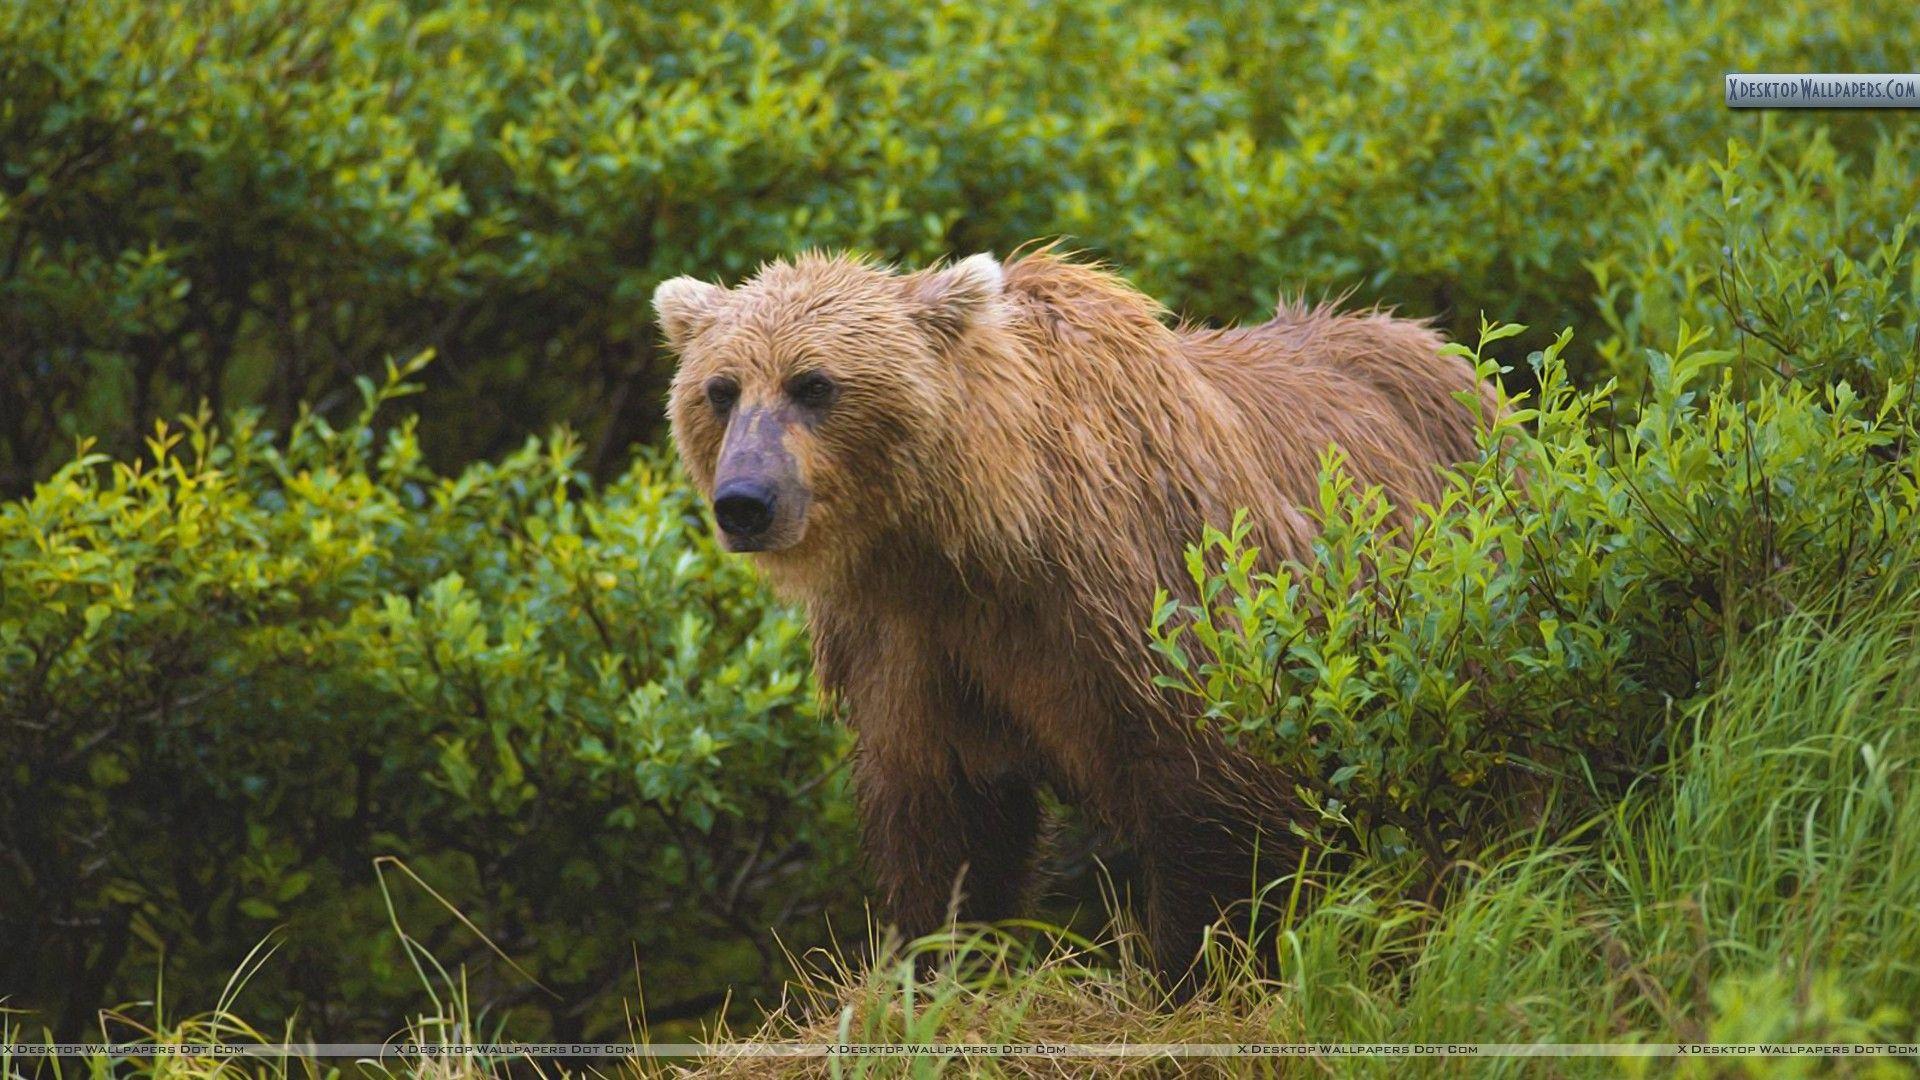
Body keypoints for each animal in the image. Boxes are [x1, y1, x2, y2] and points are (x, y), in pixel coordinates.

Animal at [654, 248, 1500, 989]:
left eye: (814, 383)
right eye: (721, 389)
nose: (744, 501)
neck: (986, 535)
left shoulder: (1146, 600)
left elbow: (1215, 794)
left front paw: (1191, 972)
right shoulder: (912, 643)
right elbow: (948, 822)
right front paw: (937, 969)